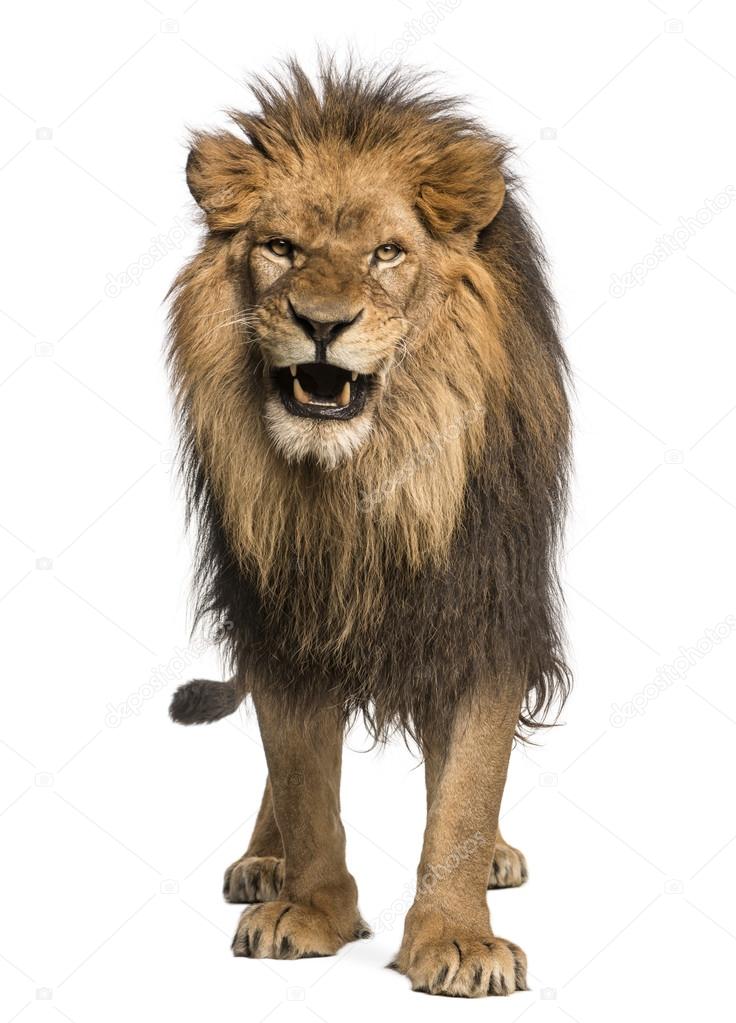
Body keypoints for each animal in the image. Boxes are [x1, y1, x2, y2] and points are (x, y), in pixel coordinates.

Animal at [167, 59, 571, 998]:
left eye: (388, 252)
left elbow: (467, 788)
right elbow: (303, 778)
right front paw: (309, 910)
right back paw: (263, 861)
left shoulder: (484, 611)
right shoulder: (280, 615)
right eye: (281, 248)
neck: (364, 484)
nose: (322, 324)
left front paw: (459, 936)